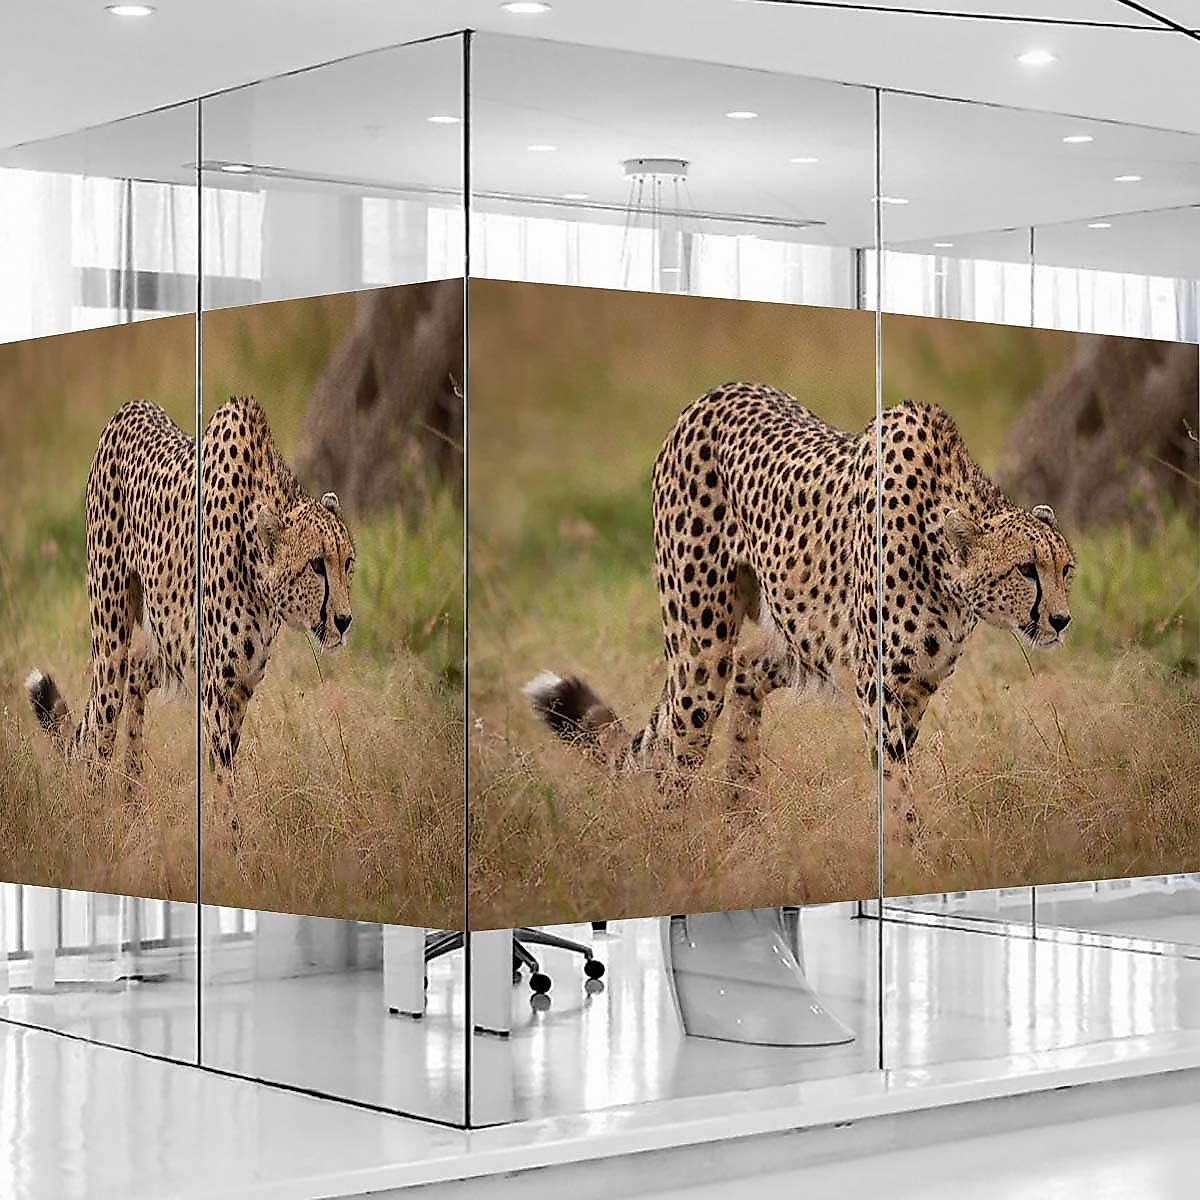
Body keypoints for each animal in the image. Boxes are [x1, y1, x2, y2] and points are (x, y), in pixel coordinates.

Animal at [25, 396, 355, 810]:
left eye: (348, 563)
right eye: (316, 565)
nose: (344, 620)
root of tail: (131, 407)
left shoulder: (240, 685)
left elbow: (225, 762)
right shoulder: (215, 685)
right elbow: (224, 775)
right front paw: (230, 825)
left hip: (167, 637)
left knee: (137, 674)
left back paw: (133, 794)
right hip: (112, 637)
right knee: (104, 720)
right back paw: (98, 808)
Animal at [524, 383, 1075, 836]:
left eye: (1066, 569)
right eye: (1027, 569)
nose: (1061, 620)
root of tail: (714, 393)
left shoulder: (916, 685)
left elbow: (897, 764)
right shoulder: (878, 683)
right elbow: (893, 773)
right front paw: (909, 847)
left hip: (800, 635)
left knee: (747, 671)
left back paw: (742, 804)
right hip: (701, 652)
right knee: (682, 743)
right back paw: (675, 840)